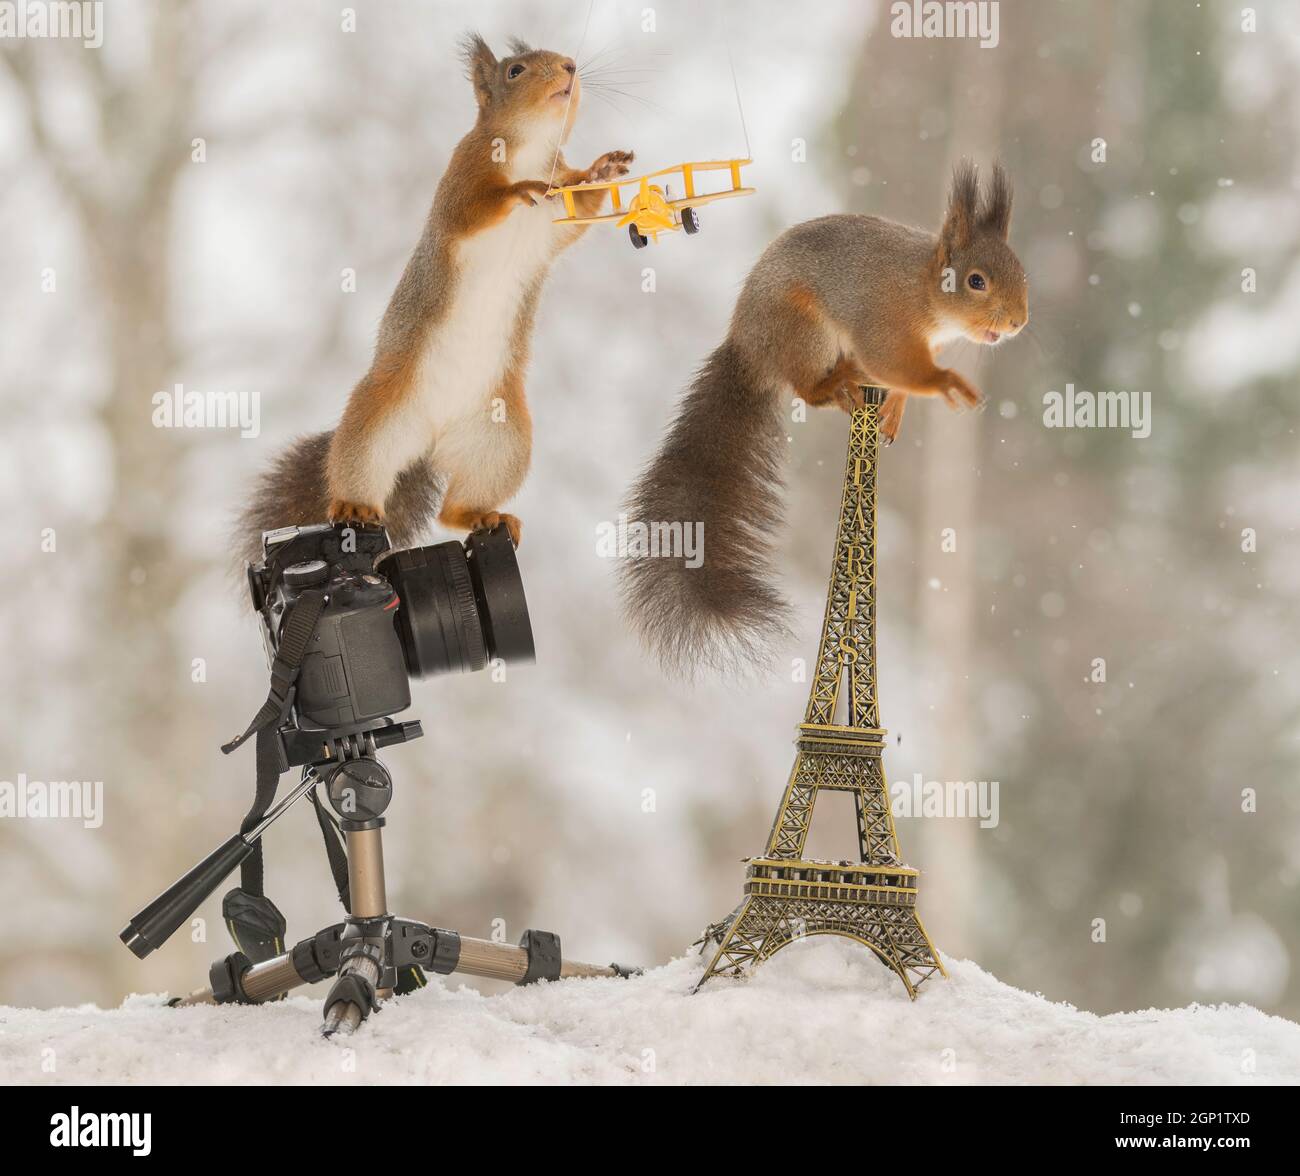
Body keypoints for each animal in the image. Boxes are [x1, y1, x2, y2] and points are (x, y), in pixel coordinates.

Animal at [238, 34, 633, 563]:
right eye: (515, 71)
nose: (570, 66)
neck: (533, 149)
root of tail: (428, 446)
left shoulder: (556, 216)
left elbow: (581, 210)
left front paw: (604, 168)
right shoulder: (462, 175)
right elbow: (475, 208)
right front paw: (523, 187)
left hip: (501, 442)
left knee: (454, 510)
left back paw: (484, 515)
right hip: (375, 423)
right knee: (358, 475)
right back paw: (354, 506)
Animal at [619, 161, 1028, 677]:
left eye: (1023, 273)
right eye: (976, 281)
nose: (1018, 322)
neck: (924, 288)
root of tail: (749, 348)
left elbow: (900, 381)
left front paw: (896, 409)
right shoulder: (885, 324)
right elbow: (897, 364)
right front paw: (948, 382)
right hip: (806, 332)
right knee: (809, 391)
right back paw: (840, 384)